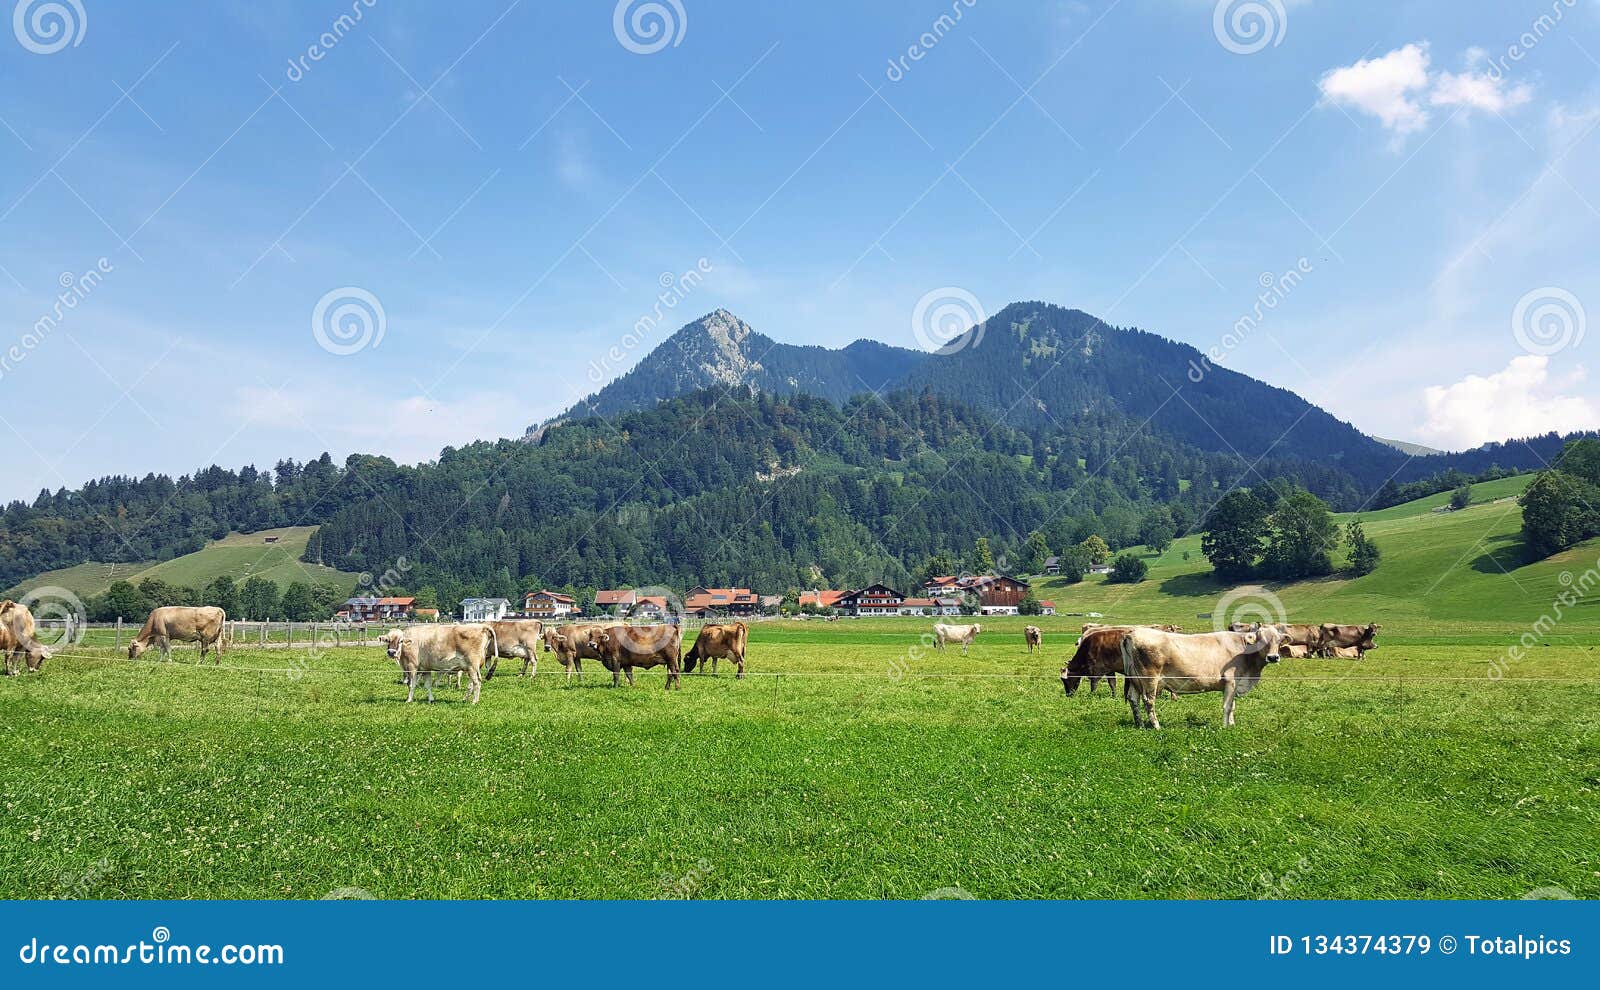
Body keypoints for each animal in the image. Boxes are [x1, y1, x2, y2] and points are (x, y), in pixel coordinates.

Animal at [1119, 625, 1284, 729]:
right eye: (1261, 640)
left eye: (1279, 641)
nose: (1273, 657)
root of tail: (1131, 633)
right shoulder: (1230, 681)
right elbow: (1227, 706)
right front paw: (1225, 727)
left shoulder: (1236, 684)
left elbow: (1232, 706)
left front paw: (1232, 725)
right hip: (1149, 679)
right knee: (1149, 702)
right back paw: (1156, 726)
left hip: (1134, 680)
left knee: (1133, 700)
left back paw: (1140, 725)